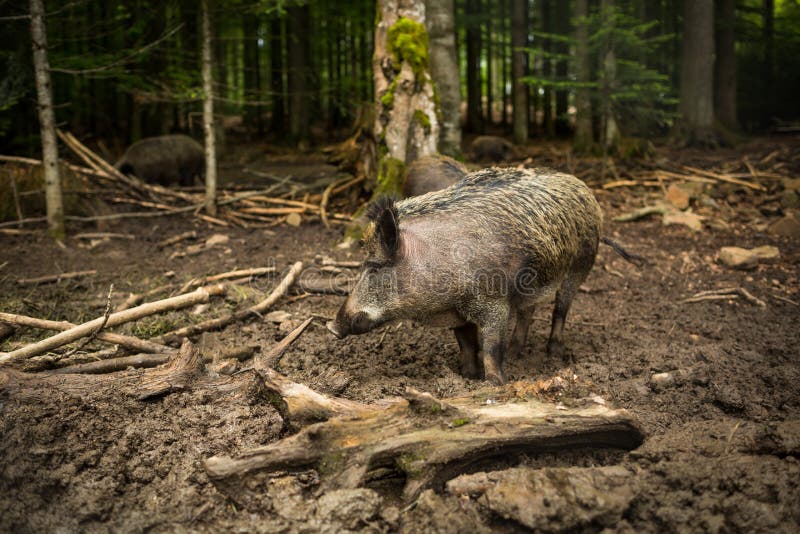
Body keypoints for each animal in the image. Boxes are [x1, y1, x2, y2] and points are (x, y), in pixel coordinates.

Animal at [327, 167, 606, 385]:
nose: (331, 327)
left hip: (581, 266)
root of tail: (583, 188)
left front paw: (494, 384)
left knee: (561, 309)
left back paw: (554, 353)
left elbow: (491, 349)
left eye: (375, 267)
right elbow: (468, 346)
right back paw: (516, 352)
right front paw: (467, 377)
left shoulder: (494, 305)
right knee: (528, 312)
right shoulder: (457, 314)